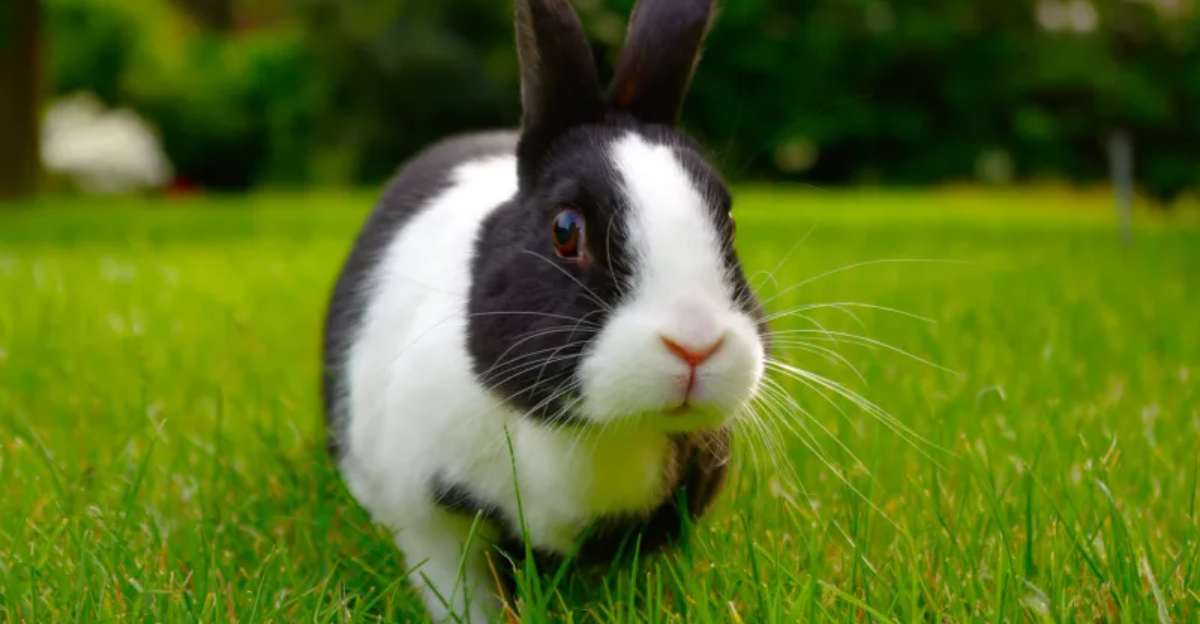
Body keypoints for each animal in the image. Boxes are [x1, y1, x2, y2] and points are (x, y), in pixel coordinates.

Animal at [321, 0, 769, 621]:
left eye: (728, 221)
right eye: (565, 229)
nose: (696, 343)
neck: (590, 433)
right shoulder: (431, 524)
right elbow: (461, 590)